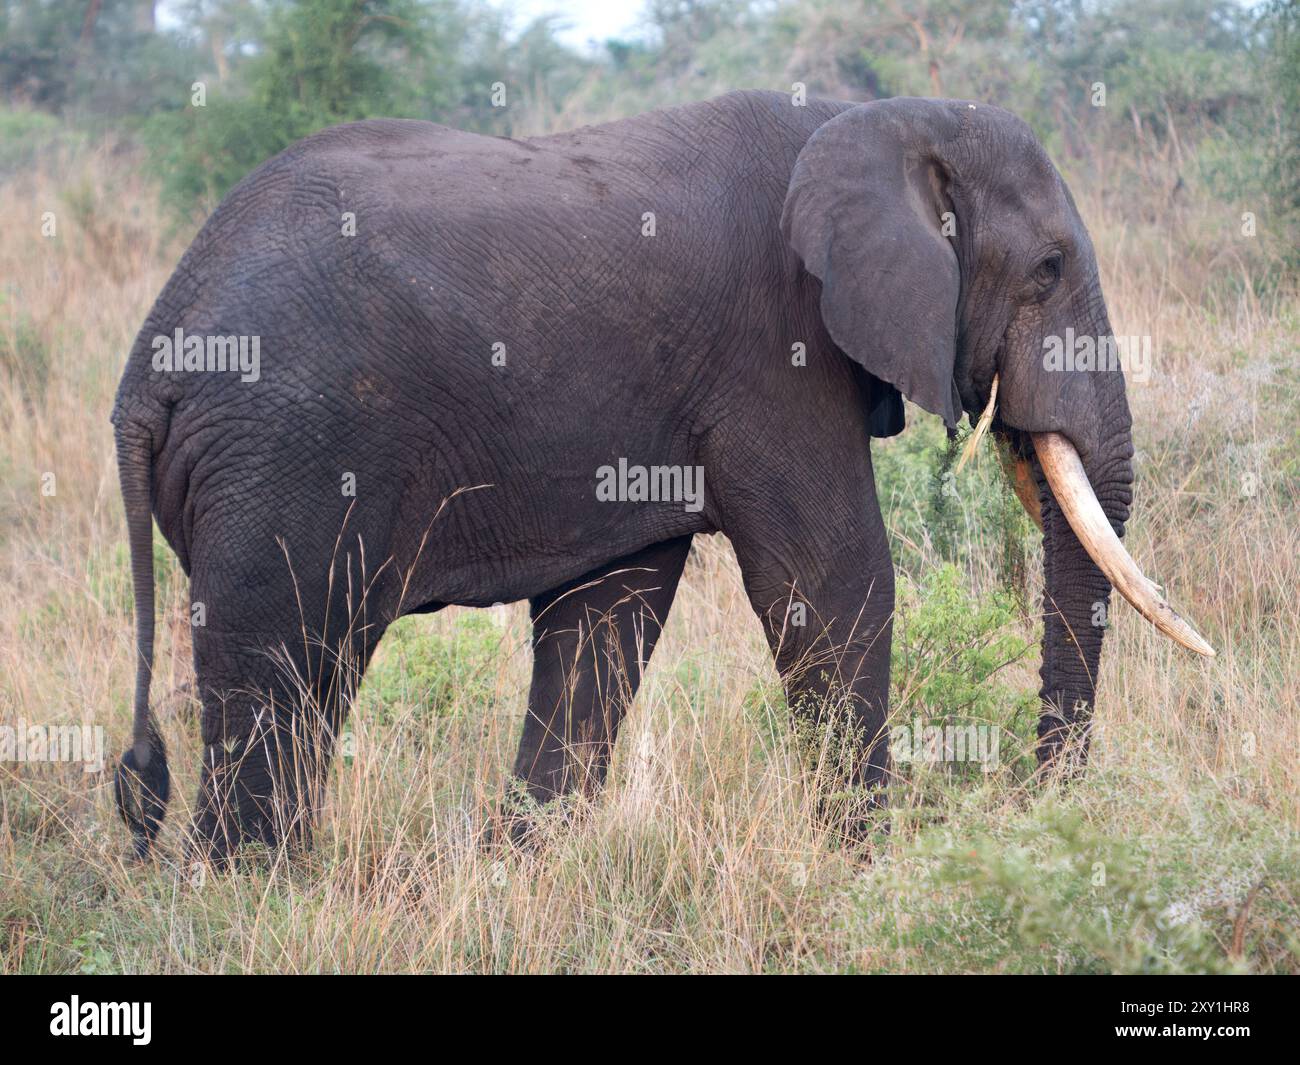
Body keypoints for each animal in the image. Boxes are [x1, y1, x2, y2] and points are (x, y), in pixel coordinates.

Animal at [112, 91, 1213, 861]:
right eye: (1047, 271)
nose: (1037, 807)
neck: (877, 118)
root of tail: (148, 366)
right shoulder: (776, 352)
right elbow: (832, 580)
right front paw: (871, 866)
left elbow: (609, 616)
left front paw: (524, 868)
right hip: (284, 452)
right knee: (280, 662)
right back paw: (252, 889)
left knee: (314, 669)